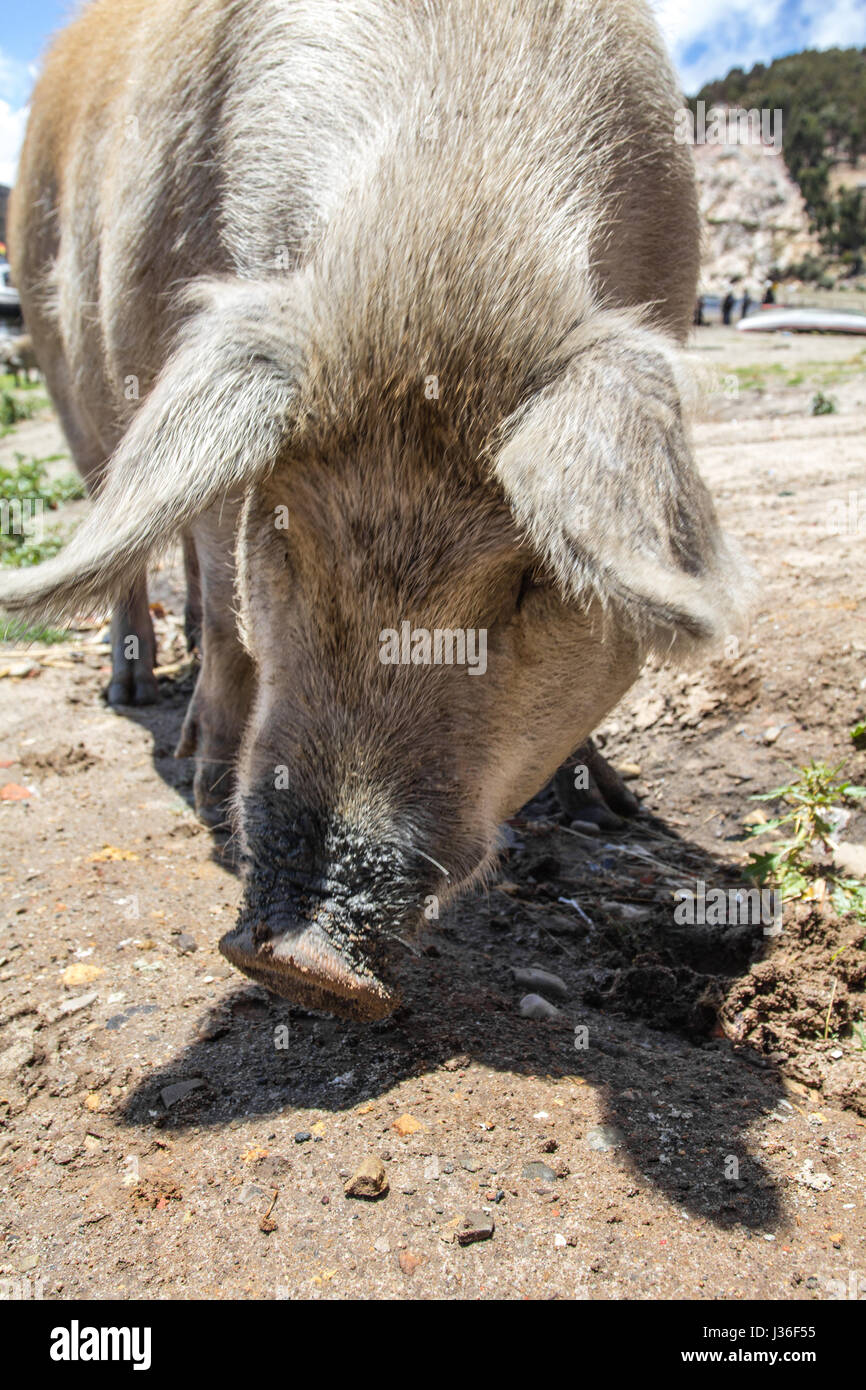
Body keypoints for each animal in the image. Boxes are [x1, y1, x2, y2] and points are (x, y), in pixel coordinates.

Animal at [0, 0, 750, 1019]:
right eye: (288, 539)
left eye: (530, 584)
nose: (305, 962)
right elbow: (228, 598)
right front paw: (206, 792)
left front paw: (608, 804)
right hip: (68, 366)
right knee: (130, 534)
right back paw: (140, 697)